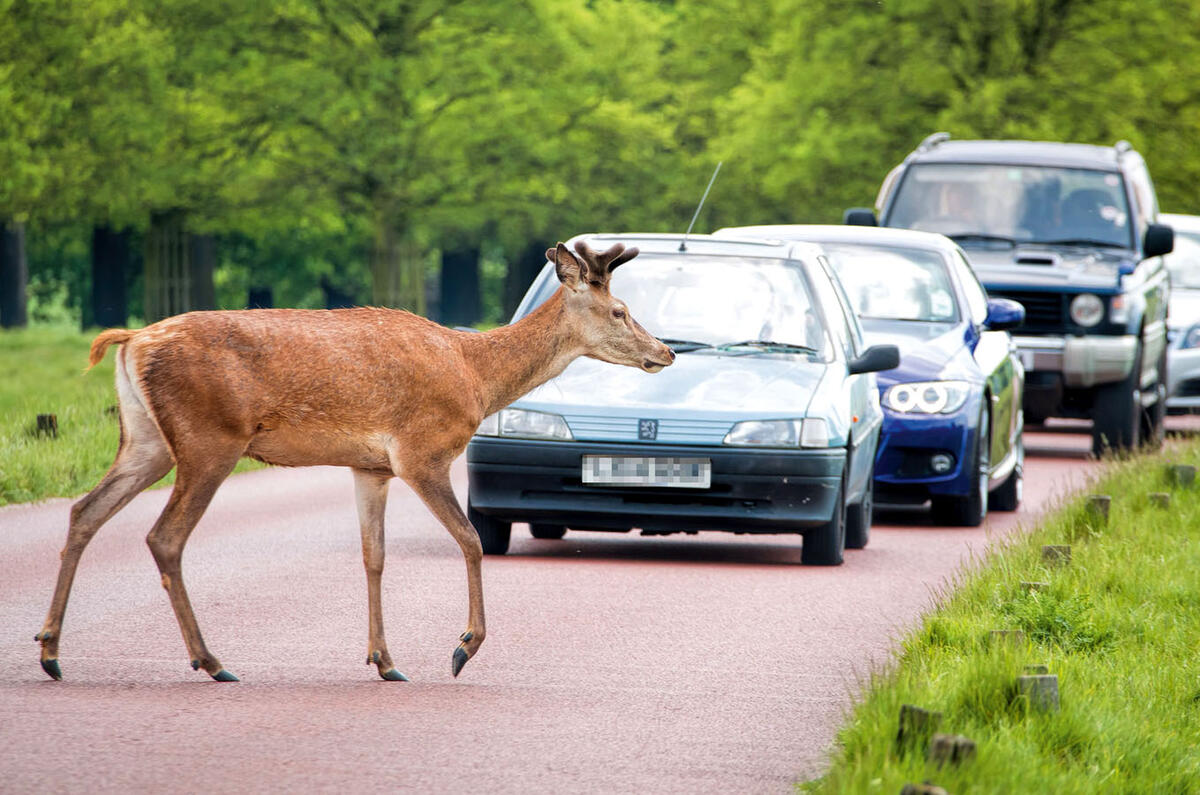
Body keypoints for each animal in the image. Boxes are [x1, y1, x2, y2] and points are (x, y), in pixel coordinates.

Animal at [36, 240, 674, 683]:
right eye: (620, 310)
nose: (665, 352)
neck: (475, 375)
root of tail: (131, 341)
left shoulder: (371, 466)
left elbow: (374, 556)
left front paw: (384, 660)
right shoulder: (422, 451)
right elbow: (469, 540)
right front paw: (462, 647)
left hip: (145, 440)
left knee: (84, 510)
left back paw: (50, 651)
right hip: (208, 438)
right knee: (164, 536)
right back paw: (211, 661)